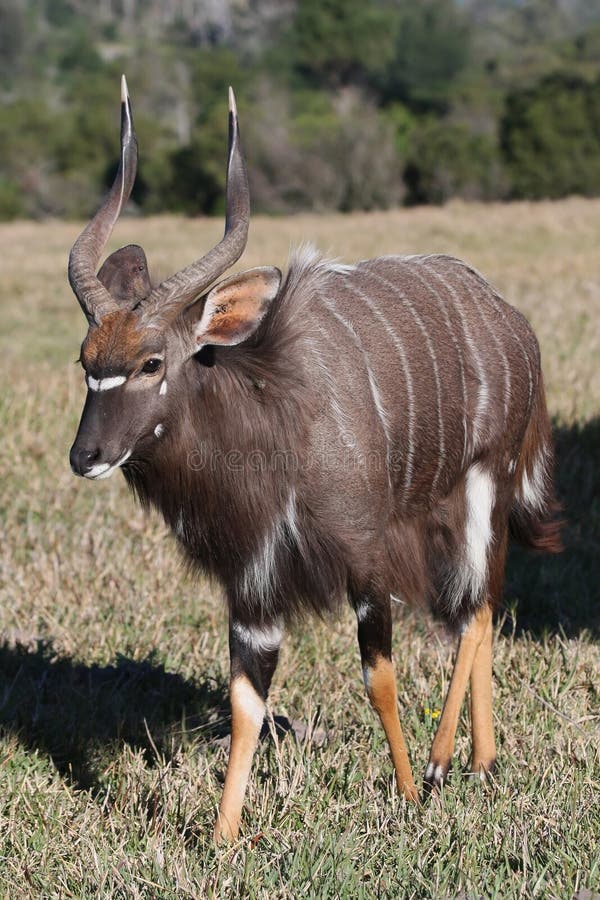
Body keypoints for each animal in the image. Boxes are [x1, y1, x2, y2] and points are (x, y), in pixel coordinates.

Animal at [69, 77, 561, 843]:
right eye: (85, 361)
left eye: (152, 362)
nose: (85, 455)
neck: (275, 421)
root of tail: (513, 323)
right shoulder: (253, 586)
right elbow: (247, 700)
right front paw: (222, 838)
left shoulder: (366, 558)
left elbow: (379, 677)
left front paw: (409, 794)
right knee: (473, 610)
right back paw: (480, 761)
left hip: (485, 487)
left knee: (478, 608)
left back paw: (446, 762)